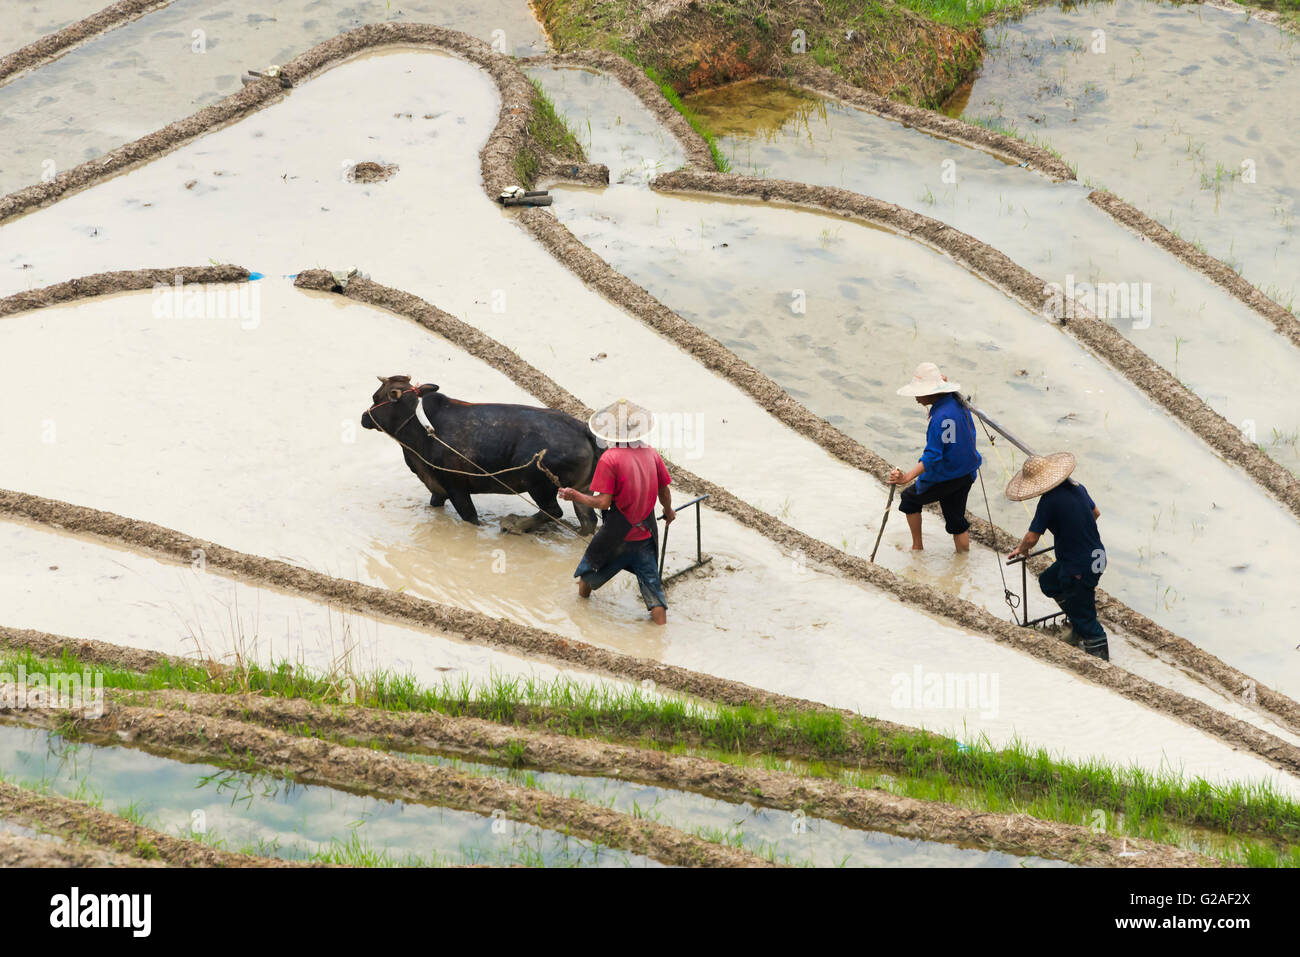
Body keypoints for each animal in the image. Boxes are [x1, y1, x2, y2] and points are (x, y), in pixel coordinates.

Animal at [362, 375, 601, 534]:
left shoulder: (456, 486)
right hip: (581, 490)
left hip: (539, 485)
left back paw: (515, 525)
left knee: (553, 511)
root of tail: (584, 430)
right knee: (588, 520)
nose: (364, 417)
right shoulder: (438, 486)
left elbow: (470, 516)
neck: (422, 427)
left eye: (376, 397)